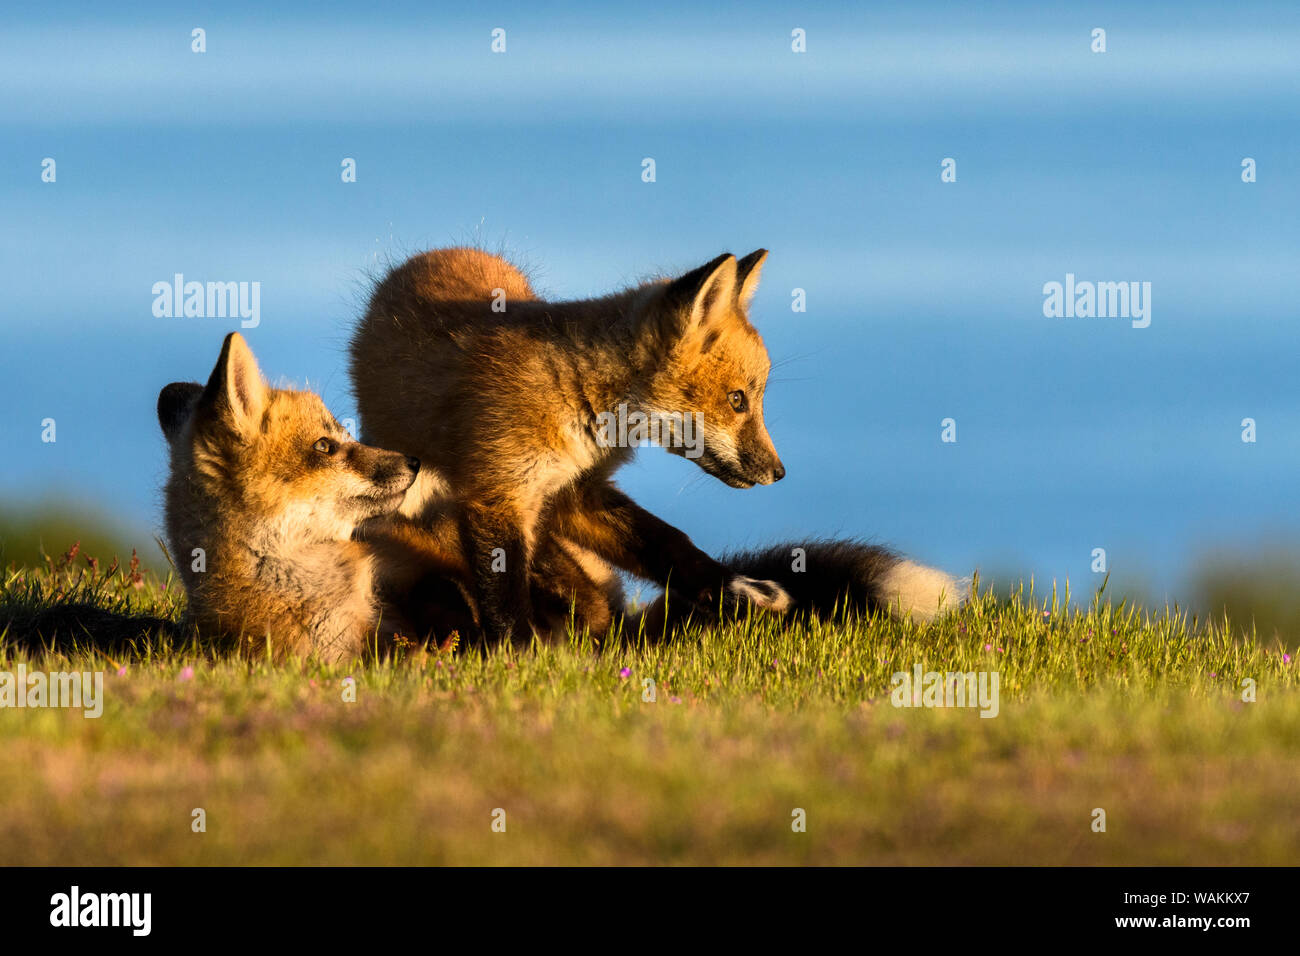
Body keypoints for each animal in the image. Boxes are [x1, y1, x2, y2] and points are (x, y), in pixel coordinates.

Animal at [350, 247, 963, 644]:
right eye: (738, 400)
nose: (779, 473)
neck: (577, 400)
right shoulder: (497, 493)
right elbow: (503, 592)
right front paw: (520, 656)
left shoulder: (577, 490)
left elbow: (669, 544)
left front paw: (732, 588)